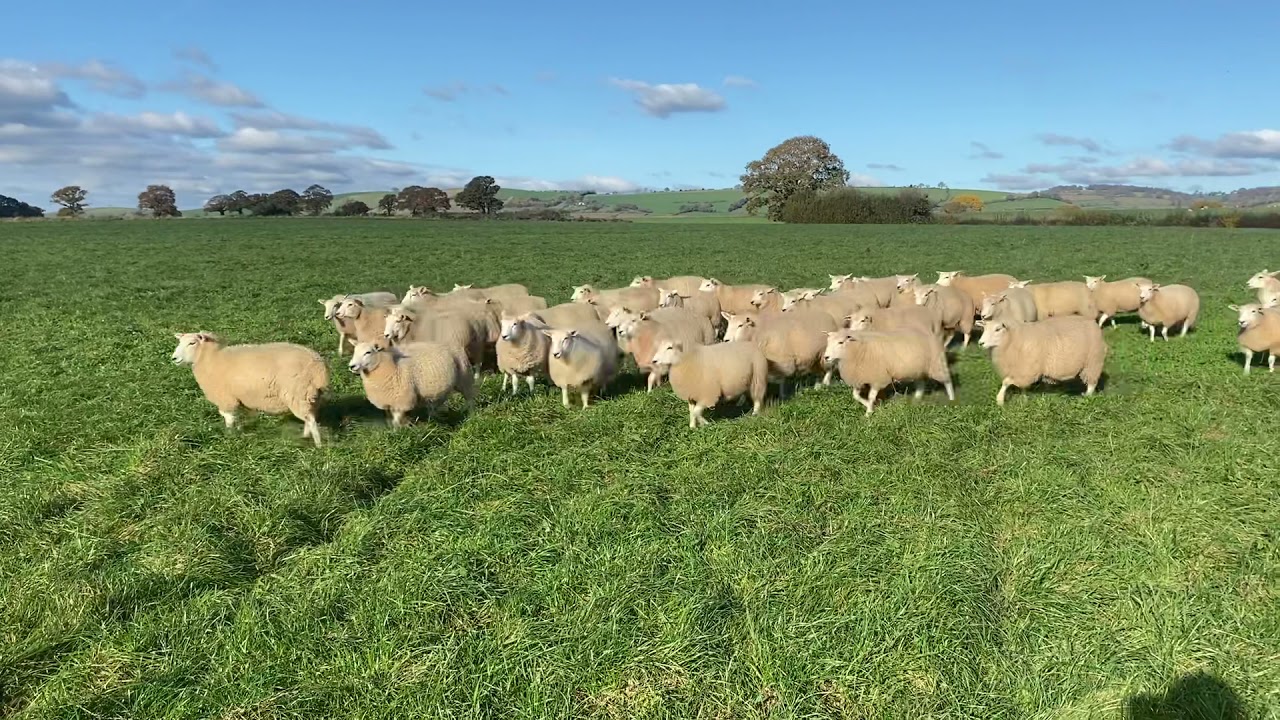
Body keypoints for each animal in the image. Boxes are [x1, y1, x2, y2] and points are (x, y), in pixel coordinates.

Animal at [171, 332, 328, 446]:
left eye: (192, 343)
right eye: (179, 342)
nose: (174, 358)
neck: (211, 359)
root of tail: (319, 369)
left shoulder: (226, 398)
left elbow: (228, 418)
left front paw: (229, 436)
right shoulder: (238, 396)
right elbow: (238, 417)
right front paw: (240, 432)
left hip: (298, 393)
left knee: (311, 421)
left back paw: (318, 445)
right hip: (310, 396)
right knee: (310, 417)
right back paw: (305, 437)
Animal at [821, 329, 954, 416]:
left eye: (840, 342)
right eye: (828, 342)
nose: (826, 357)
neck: (858, 349)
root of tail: (931, 334)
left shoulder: (878, 378)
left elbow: (871, 396)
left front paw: (868, 412)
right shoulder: (860, 376)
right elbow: (855, 396)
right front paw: (870, 406)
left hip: (937, 364)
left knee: (948, 382)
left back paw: (952, 398)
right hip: (918, 369)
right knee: (921, 383)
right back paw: (917, 398)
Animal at [976, 316, 1108, 406]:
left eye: (998, 329)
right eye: (984, 328)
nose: (980, 343)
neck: (1012, 339)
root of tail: (1093, 323)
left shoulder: (1027, 370)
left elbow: (1006, 382)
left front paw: (999, 400)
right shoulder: (1021, 370)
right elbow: (1020, 386)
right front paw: (1024, 399)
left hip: (1093, 361)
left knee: (1091, 383)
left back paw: (1087, 397)